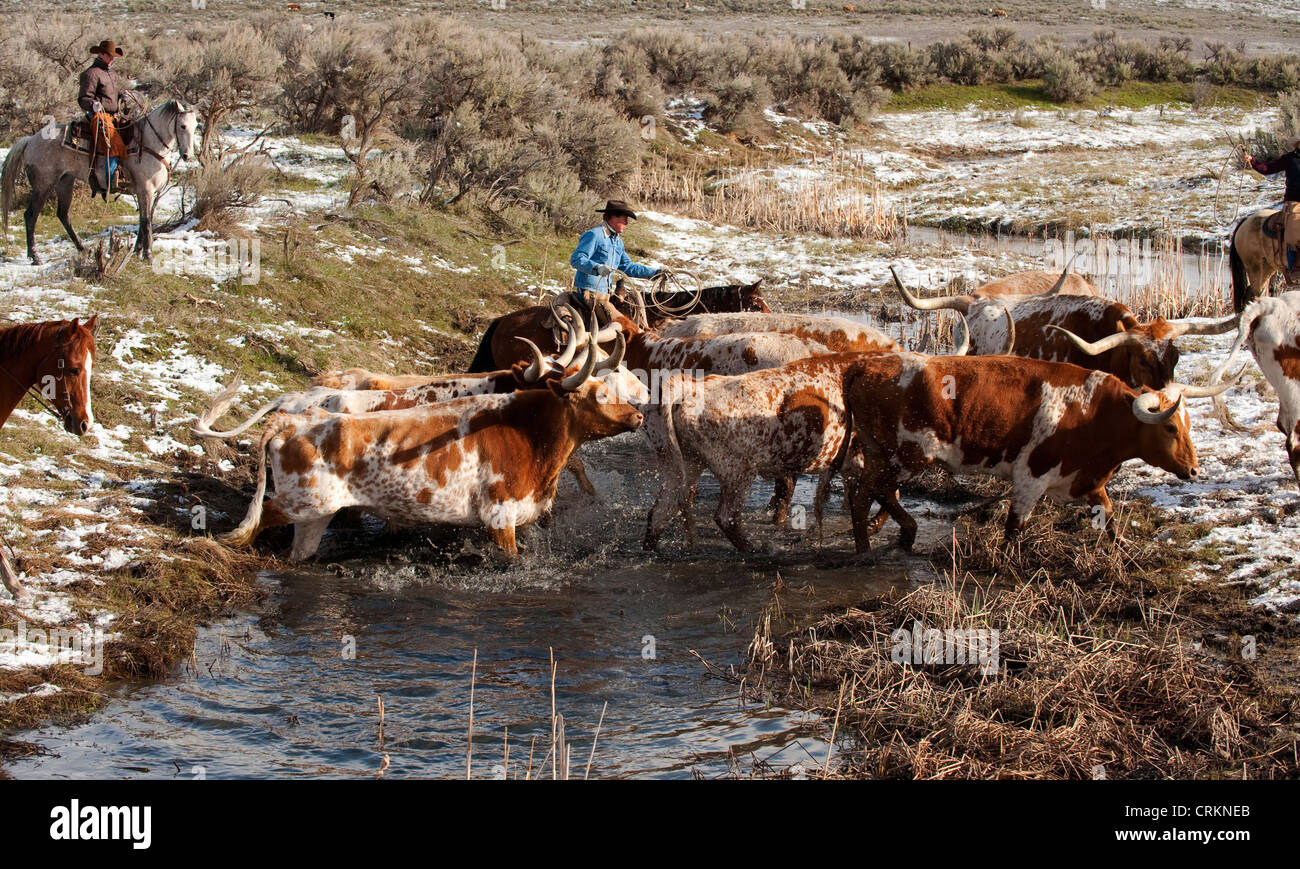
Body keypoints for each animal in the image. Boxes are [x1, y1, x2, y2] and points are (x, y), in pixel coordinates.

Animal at [218, 340, 646, 560]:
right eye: (601, 392)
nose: (638, 413)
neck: (528, 432)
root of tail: (294, 417)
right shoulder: (499, 519)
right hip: (304, 504)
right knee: (263, 514)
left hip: (316, 517)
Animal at [838, 353, 1235, 552]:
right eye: (1170, 428)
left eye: (1188, 425)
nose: (1195, 471)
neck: (1094, 410)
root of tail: (867, 365)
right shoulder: (1031, 477)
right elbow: (1014, 528)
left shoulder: (1086, 479)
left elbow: (1109, 516)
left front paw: (1122, 548)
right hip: (906, 456)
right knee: (873, 490)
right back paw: (891, 536)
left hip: (880, 452)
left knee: (866, 492)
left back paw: (874, 541)